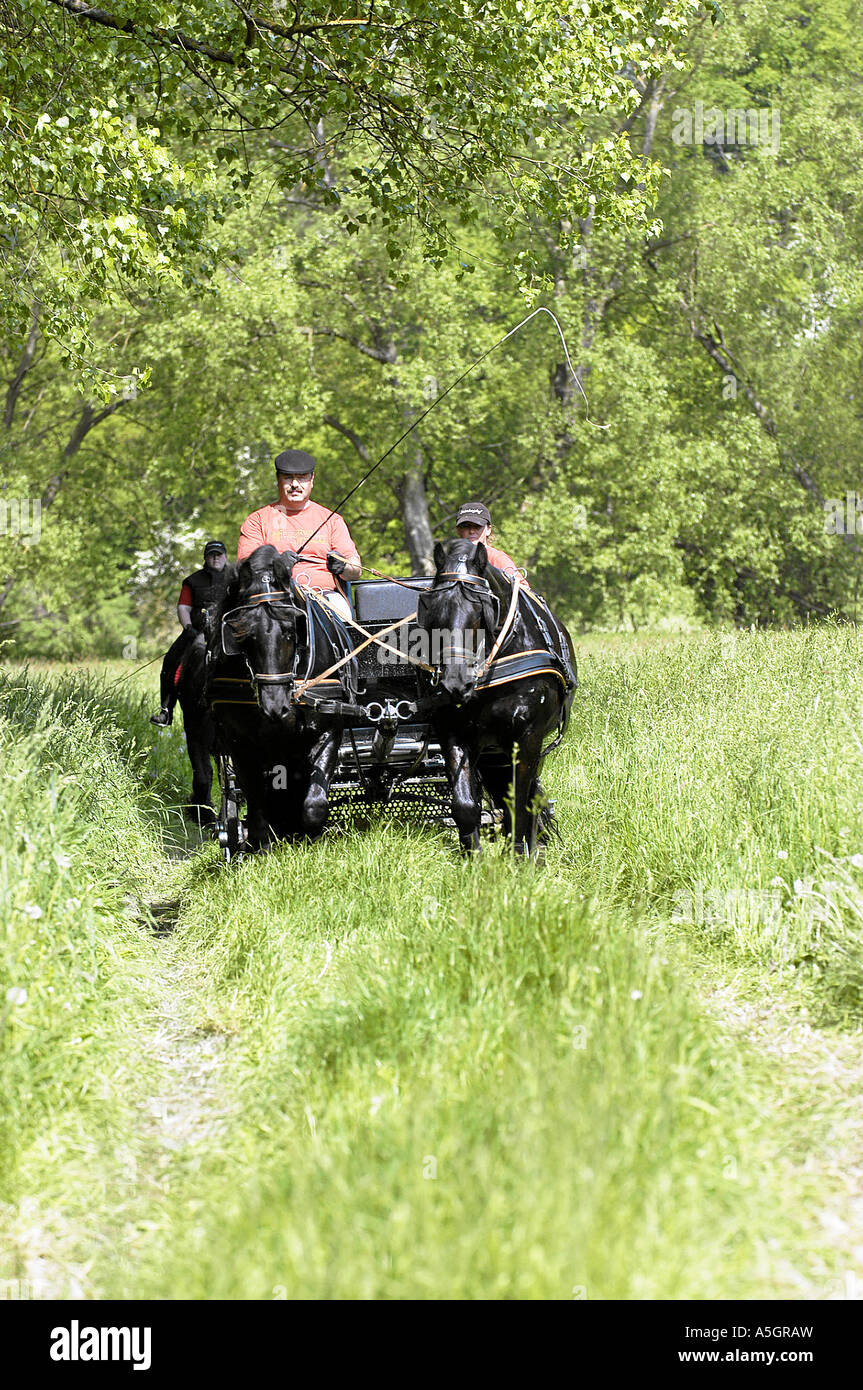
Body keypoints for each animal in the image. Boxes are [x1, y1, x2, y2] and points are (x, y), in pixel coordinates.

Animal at [206, 544, 357, 850]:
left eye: (291, 631)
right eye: (243, 634)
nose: (275, 707)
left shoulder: (329, 727)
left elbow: (314, 804)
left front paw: (310, 838)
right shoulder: (239, 741)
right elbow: (256, 803)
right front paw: (262, 843)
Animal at [416, 539, 576, 855]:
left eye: (479, 609)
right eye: (433, 607)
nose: (455, 682)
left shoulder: (527, 737)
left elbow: (520, 805)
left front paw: (520, 856)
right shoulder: (454, 732)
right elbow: (465, 806)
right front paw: (475, 859)